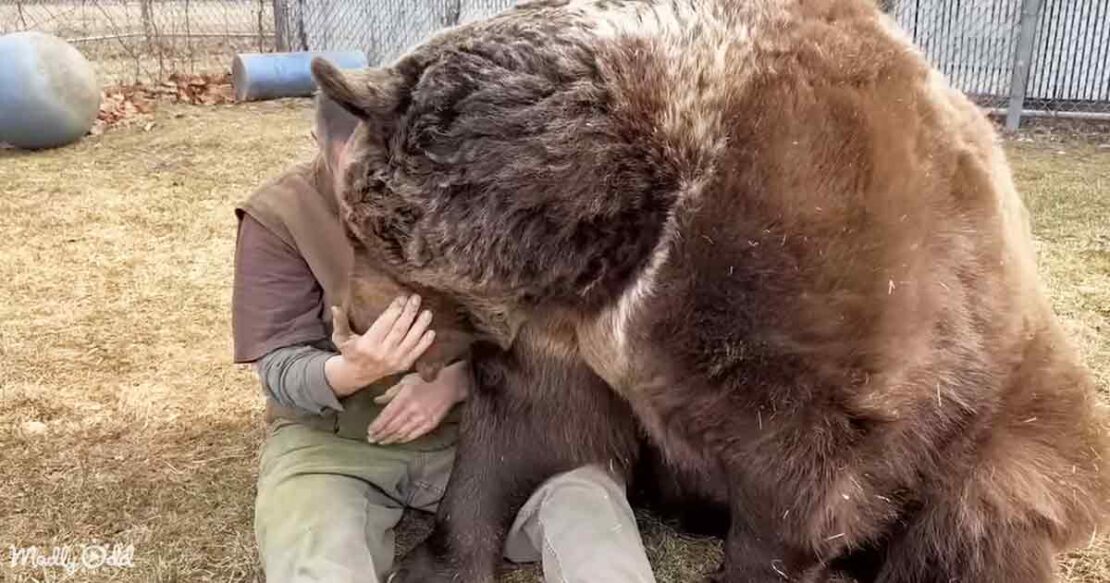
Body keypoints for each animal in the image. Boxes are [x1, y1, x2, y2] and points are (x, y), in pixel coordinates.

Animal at [313, 0, 1110, 581]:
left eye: (355, 233)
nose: (348, 321)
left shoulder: (807, 288)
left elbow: (799, 489)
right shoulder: (567, 338)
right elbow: (519, 430)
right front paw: (438, 559)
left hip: (1006, 420)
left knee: (977, 517)